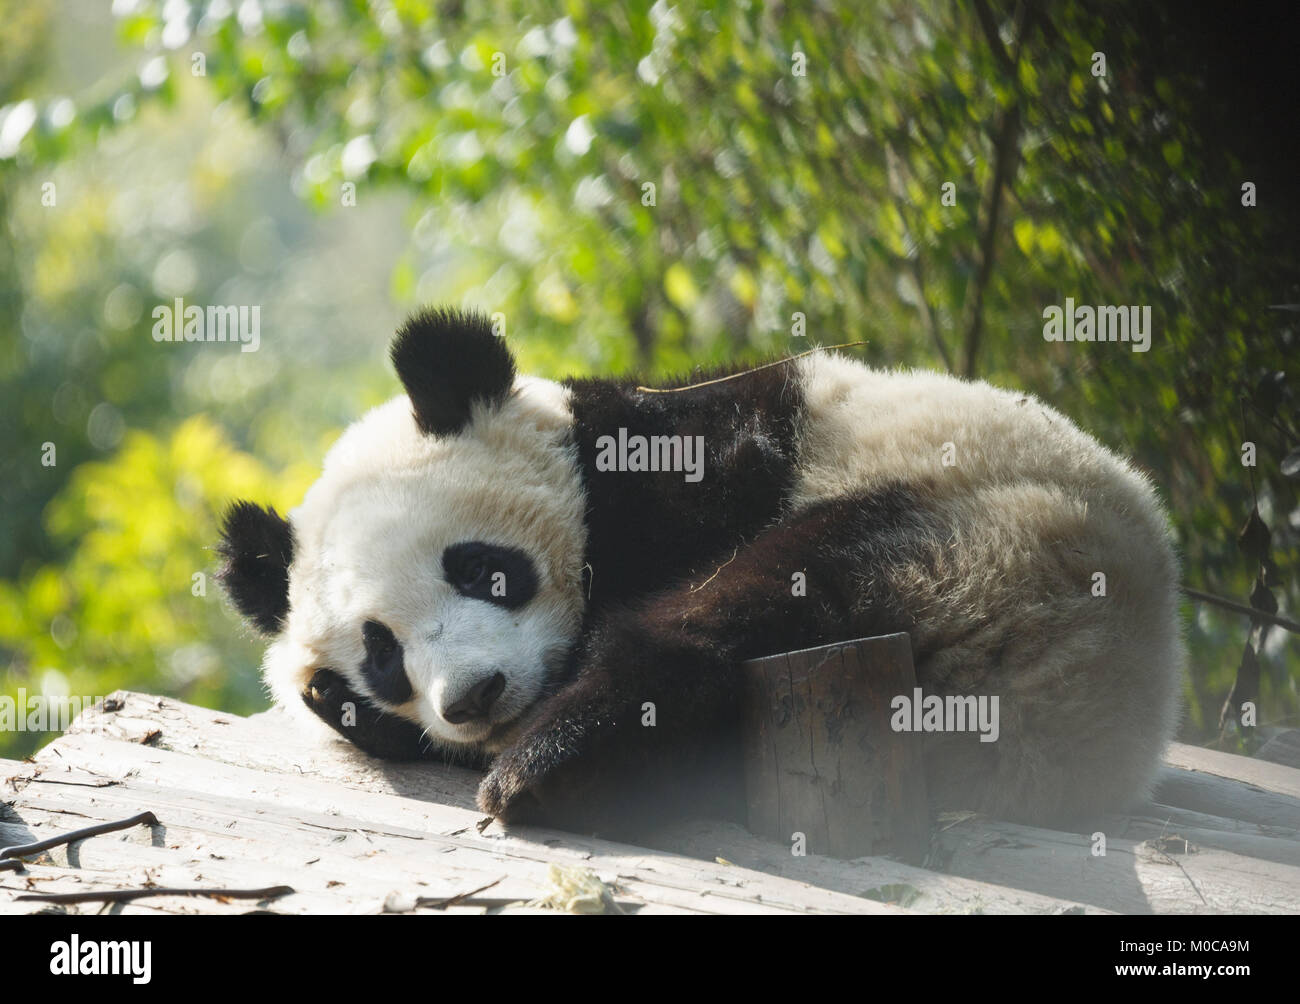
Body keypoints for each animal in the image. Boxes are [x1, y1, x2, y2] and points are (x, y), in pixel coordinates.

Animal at [217, 307, 1184, 837]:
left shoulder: (701, 456)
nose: (473, 698)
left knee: (749, 611)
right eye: (383, 655)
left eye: (483, 570)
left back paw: (555, 764)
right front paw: (335, 704)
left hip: (976, 540)